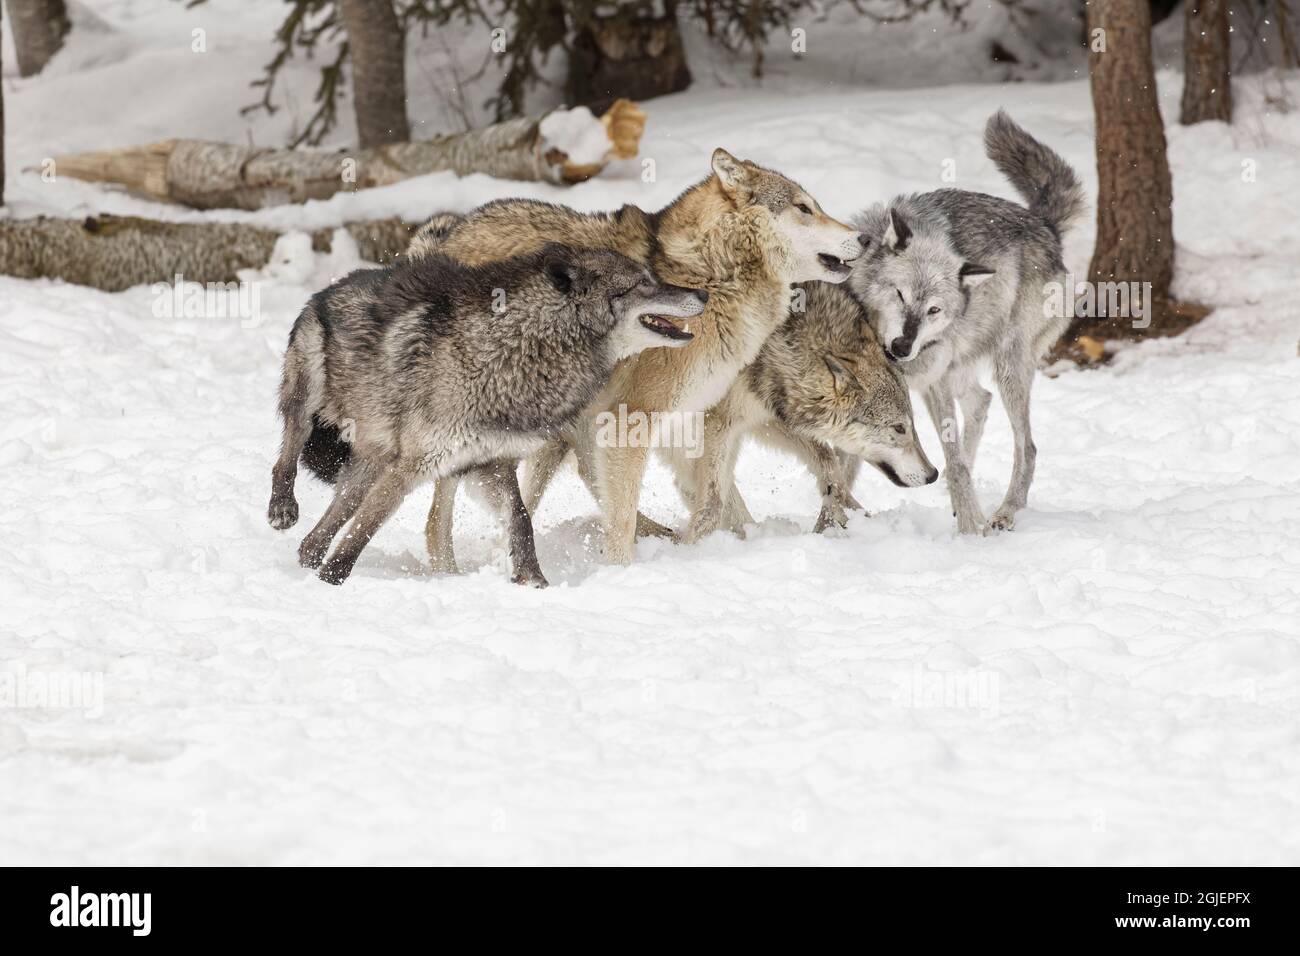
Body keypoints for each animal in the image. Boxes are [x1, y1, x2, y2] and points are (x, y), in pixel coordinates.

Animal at [266, 244, 705, 586]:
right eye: (643, 282)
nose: (702, 293)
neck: (520, 348)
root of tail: (327, 289)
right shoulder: (415, 466)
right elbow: (365, 529)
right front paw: (332, 581)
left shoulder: (490, 464)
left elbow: (522, 519)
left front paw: (535, 581)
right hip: (309, 402)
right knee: (286, 456)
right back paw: (283, 510)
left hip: (369, 467)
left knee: (321, 531)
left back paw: (307, 560)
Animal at [414, 149, 867, 565]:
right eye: (804, 208)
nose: (863, 237)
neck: (713, 276)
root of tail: (447, 237)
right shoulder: (631, 418)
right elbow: (629, 517)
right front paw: (621, 573)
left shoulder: (689, 419)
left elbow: (717, 501)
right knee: (436, 519)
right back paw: (449, 571)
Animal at [848, 110, 1085, 534]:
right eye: (899, 295)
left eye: (934, 310)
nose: (902, 347)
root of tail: (1045, 226)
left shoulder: (933, 382)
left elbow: (953, 458)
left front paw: (971, 526)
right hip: (962, 367)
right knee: (981, 401)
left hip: (1007, 367)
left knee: (1026, 446)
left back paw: (1004, 512)